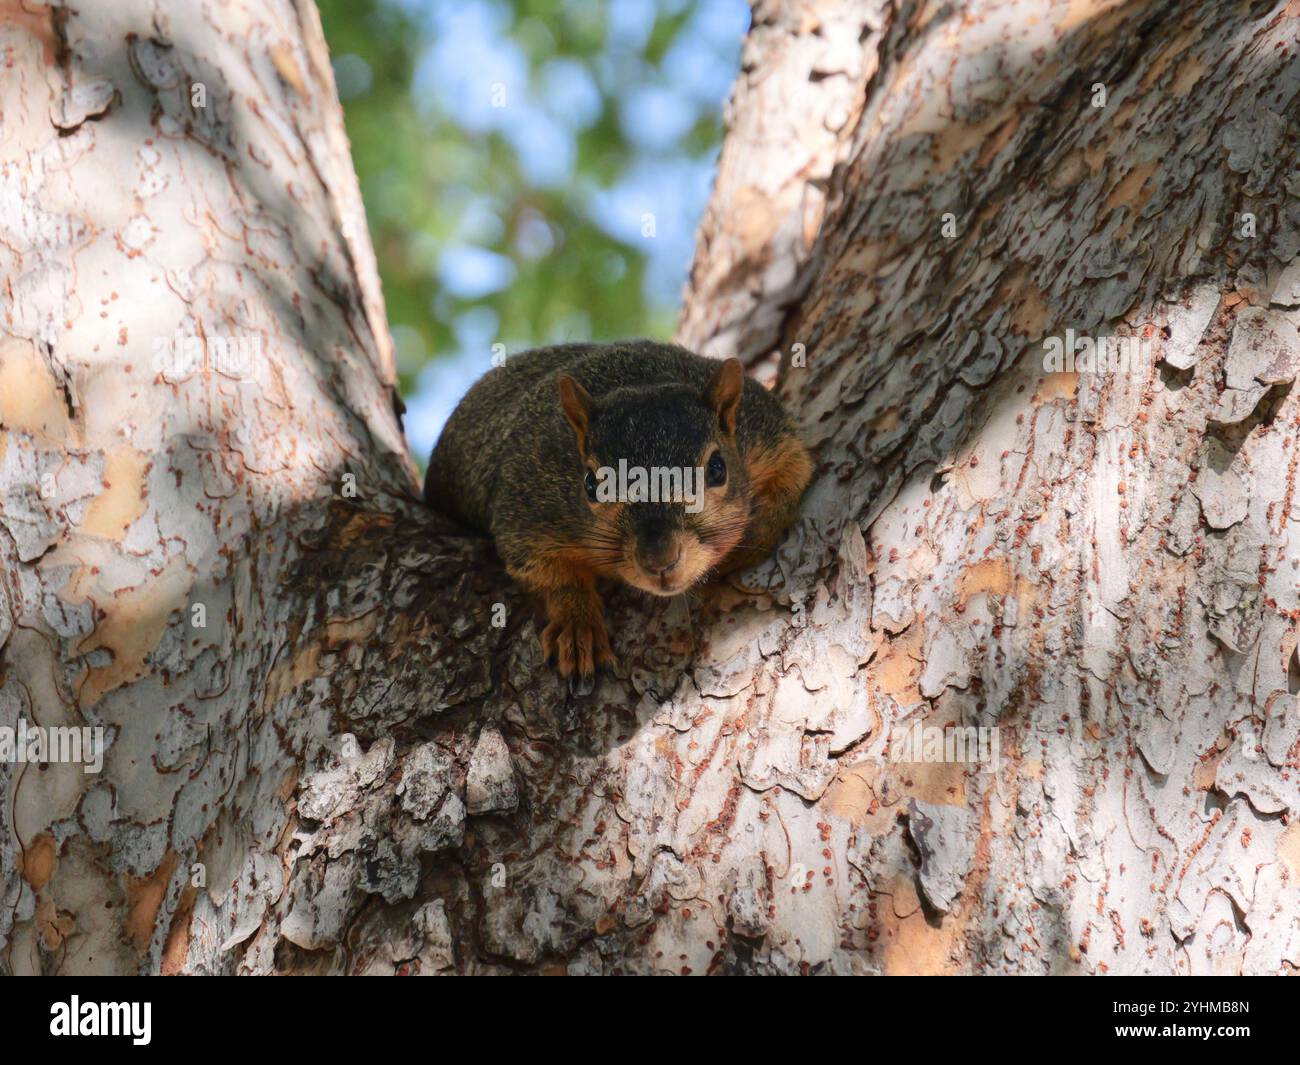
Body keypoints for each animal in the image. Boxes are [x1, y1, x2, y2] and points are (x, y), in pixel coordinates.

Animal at [424, 339, 813, 680]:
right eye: (592, 484)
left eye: (718, 468)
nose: (660, 560)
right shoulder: (527, 501)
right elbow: (548, 570)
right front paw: (577, 624)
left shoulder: (765, 432)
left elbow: (794, 474)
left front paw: (743, 543)